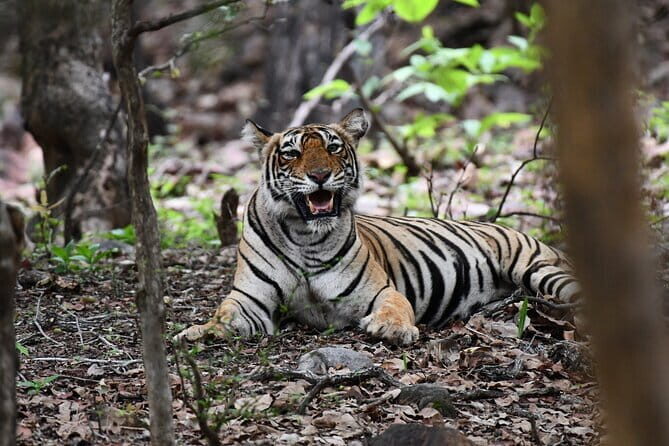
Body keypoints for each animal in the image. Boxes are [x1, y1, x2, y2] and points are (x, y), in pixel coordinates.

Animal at [176, 109, 579, 345]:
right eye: (292, 153)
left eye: (333, 148)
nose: (319, 175)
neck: (305, 236)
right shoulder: (250, 299)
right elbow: (224, 314)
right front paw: (198, 332)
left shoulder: (380, 290)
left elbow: (395, 307)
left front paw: (391, 328)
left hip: (540, 269)